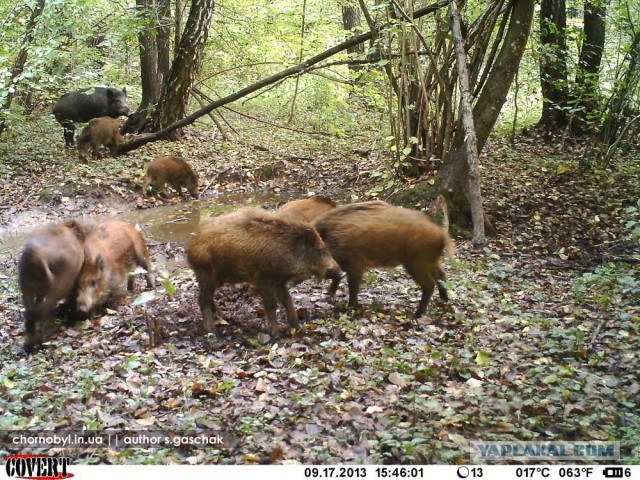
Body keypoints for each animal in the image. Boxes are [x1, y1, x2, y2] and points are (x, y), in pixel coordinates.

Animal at [19, 220, 88, 353]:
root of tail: (36, 256)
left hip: (26, 288)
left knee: (30, 312)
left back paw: (28, 344)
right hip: (59, 288)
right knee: (41, 311)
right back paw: (41, 342)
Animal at [186, 208, 340, 336]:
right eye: (320, 250)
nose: (339, 271)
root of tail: (190, 244)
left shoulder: (280, 282)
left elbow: (288, 301)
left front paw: (298, 328)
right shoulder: (265, 280)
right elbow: (272, 305)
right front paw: (276, 334)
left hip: (216, 278)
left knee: (207, 297)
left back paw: (220, 315)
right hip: (207, 274)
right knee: (202, 300)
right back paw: (213, 332)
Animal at [312, 200, 452, 318]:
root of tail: (442, 235)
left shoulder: (355, 265)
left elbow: (353, 287)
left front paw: (350, 308)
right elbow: (338, 279)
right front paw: (329, 296)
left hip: (417, 262)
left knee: (429, 284)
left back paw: (417, 314)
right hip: (430, 261)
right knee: (442, 275)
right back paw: (444, 300)